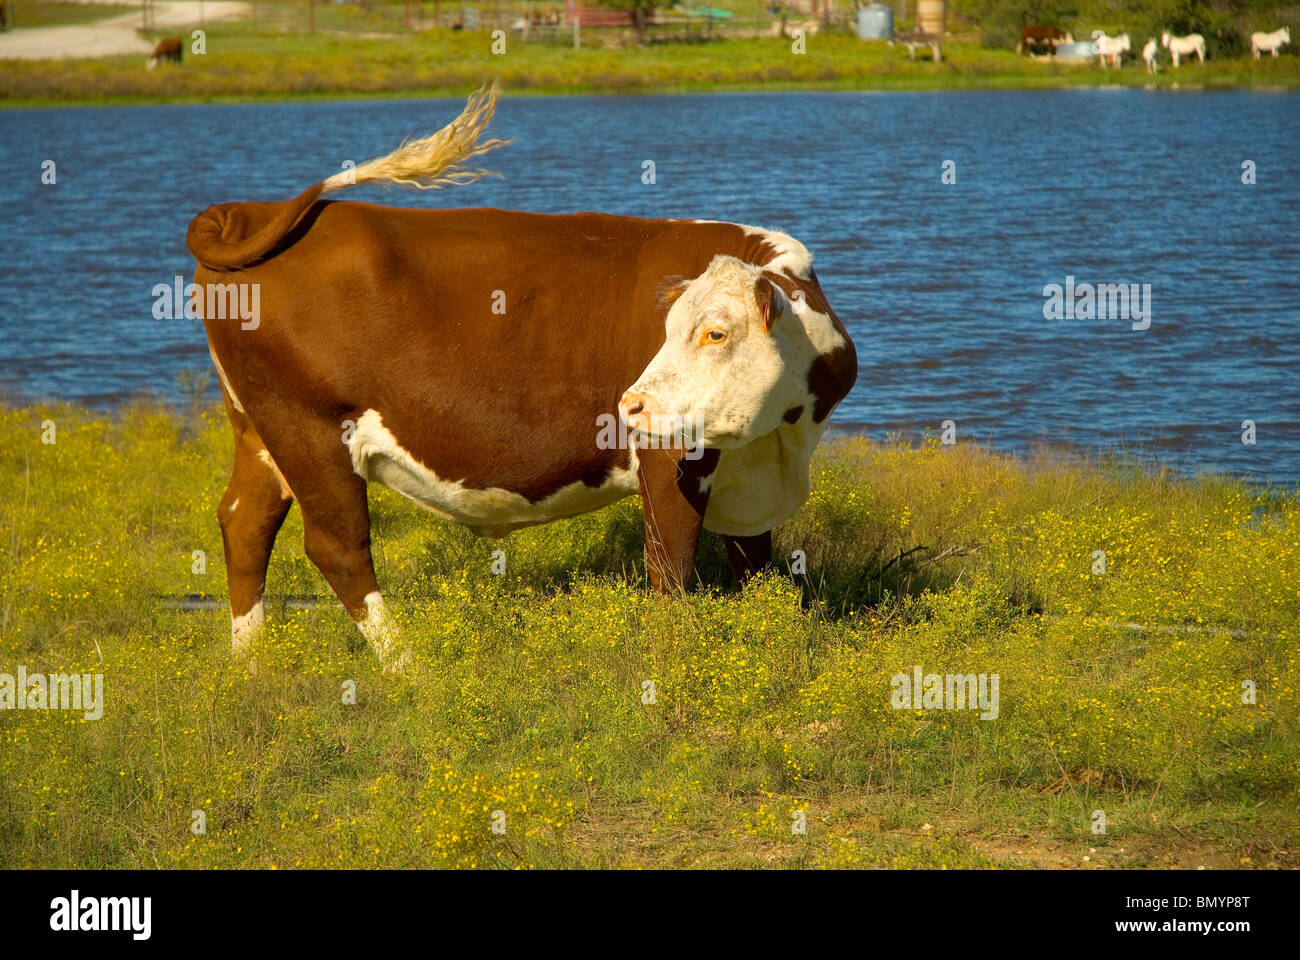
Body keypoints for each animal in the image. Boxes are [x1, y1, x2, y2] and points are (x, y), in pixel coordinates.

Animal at [185, 89, 858, 667]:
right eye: (669, 330)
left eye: (714, 333)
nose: (629, 406)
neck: (777, 446)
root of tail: (254, 211)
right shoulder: (670, 460)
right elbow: (671, 567)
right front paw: (670, 660)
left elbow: (756, 569)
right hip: (310, 429)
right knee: (337, 546)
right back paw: (410, 669)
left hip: (259, 427)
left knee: (245, 521)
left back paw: (251, 667)